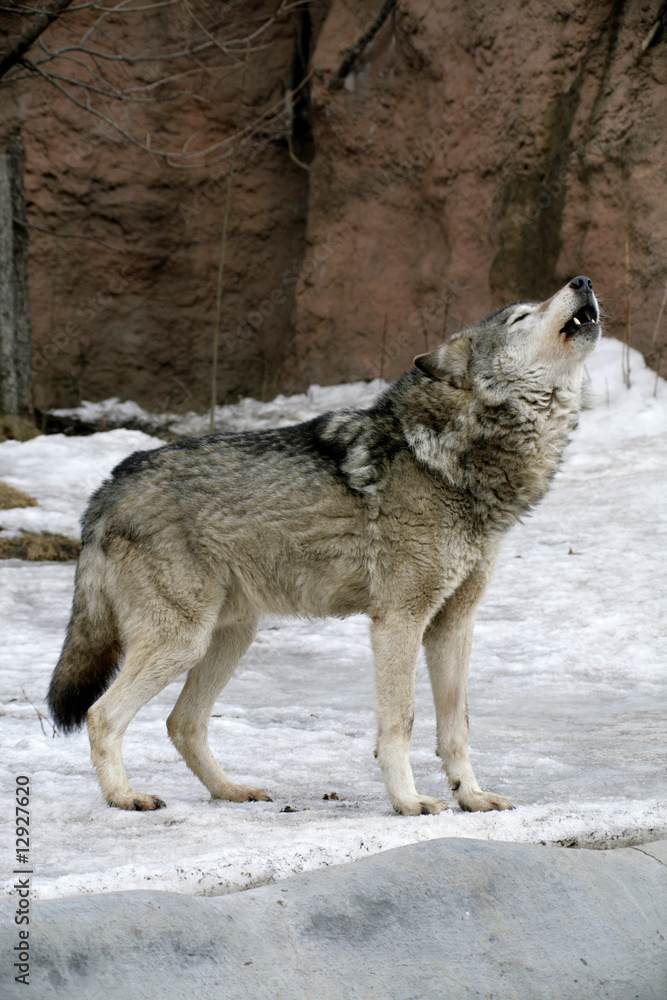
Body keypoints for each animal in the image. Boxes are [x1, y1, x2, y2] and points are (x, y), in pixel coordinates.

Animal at [47, 276, 600, 815]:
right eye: (521, 316)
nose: (583, 280)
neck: (449, 457)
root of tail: (109, 485)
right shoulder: (398, 620)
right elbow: (401, 721)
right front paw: (407, 801)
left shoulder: (453, 624)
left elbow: (456, 726)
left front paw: (471, 796)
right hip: (183, 641)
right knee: (101, 714)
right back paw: (125, 797)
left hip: (229, 637)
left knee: (182, 723)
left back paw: (230, 791)